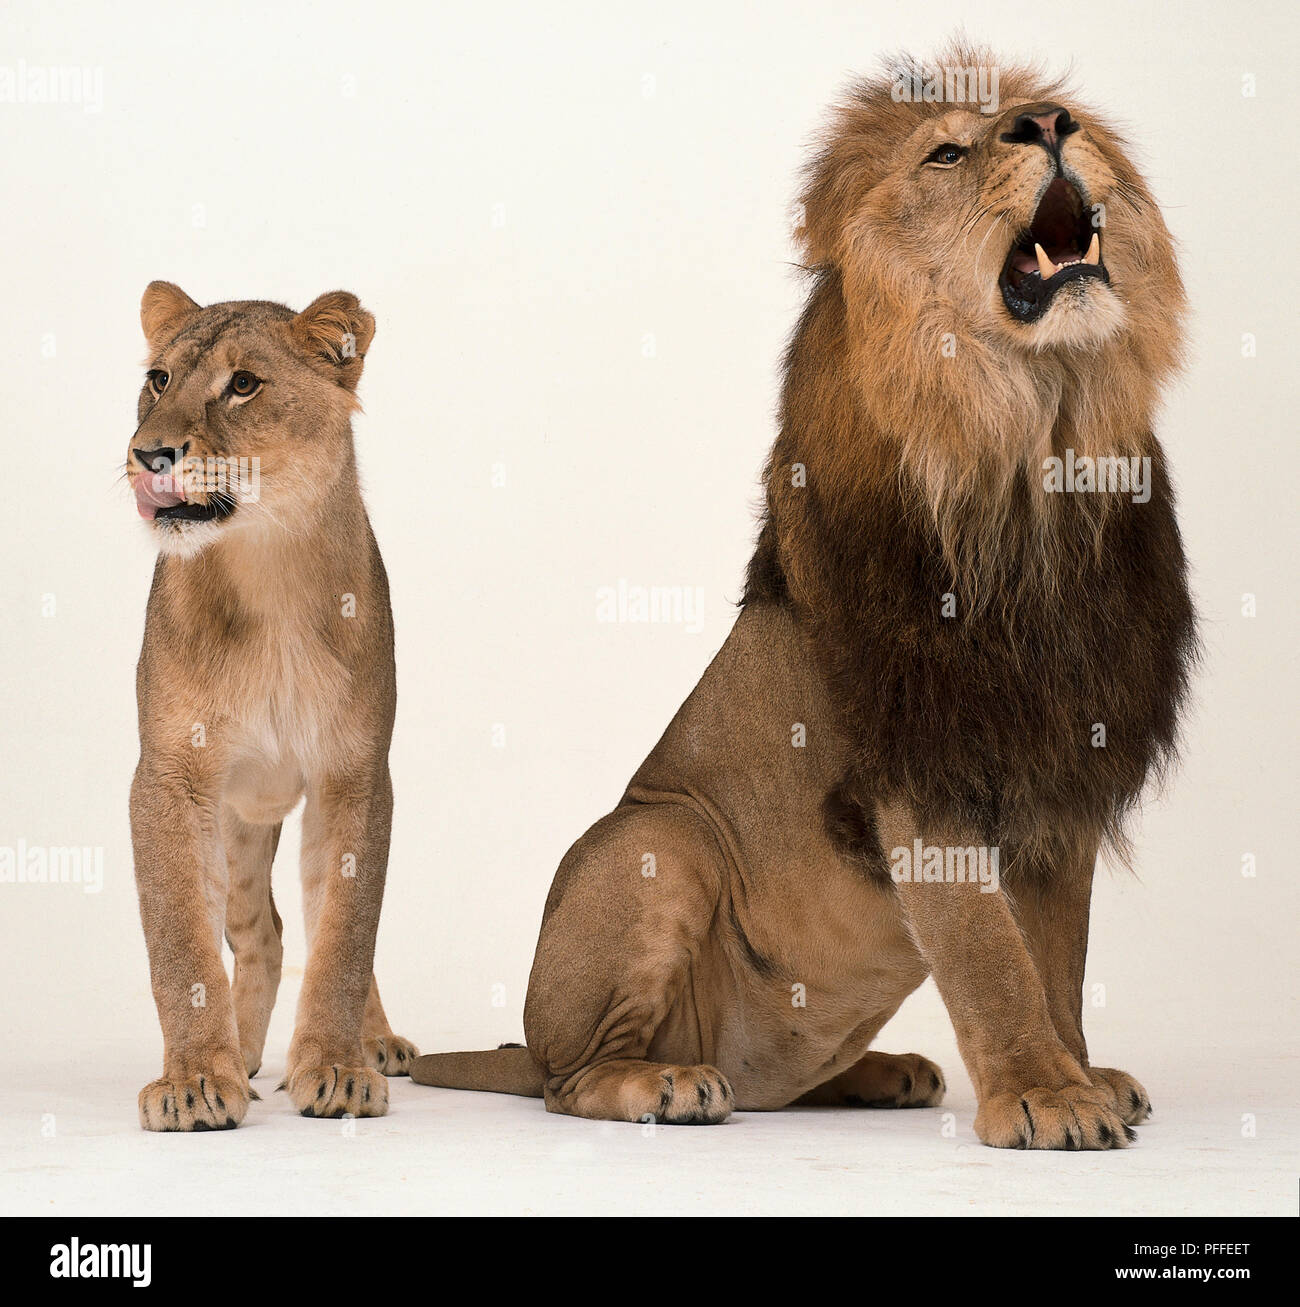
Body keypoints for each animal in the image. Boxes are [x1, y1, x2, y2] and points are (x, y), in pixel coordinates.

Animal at [127, 283, 417, 1130]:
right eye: (158, 379)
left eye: (244, 385)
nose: (149, 454)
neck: (270, 571)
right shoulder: (169, 779)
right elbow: (181, 943)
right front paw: (197, 1077)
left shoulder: (357, 775)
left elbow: (347, 934)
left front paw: (338, 1068)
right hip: (238, 827)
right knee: (264, 931)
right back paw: (246, 1055)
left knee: (323, 927)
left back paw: (373, 1043)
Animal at [410, 48, 1197, 1149]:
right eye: (946, 151)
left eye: (1064, 116)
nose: (1050, 123)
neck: (1039, 444)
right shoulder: (922, 771)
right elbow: (991, 954)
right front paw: (1045, 1096)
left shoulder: (1059, 771)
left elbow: (1058, 960)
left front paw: (1077, 1070)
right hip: (659, 841)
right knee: (575, 1077)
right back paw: (661, 1081)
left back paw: (884, 1071)